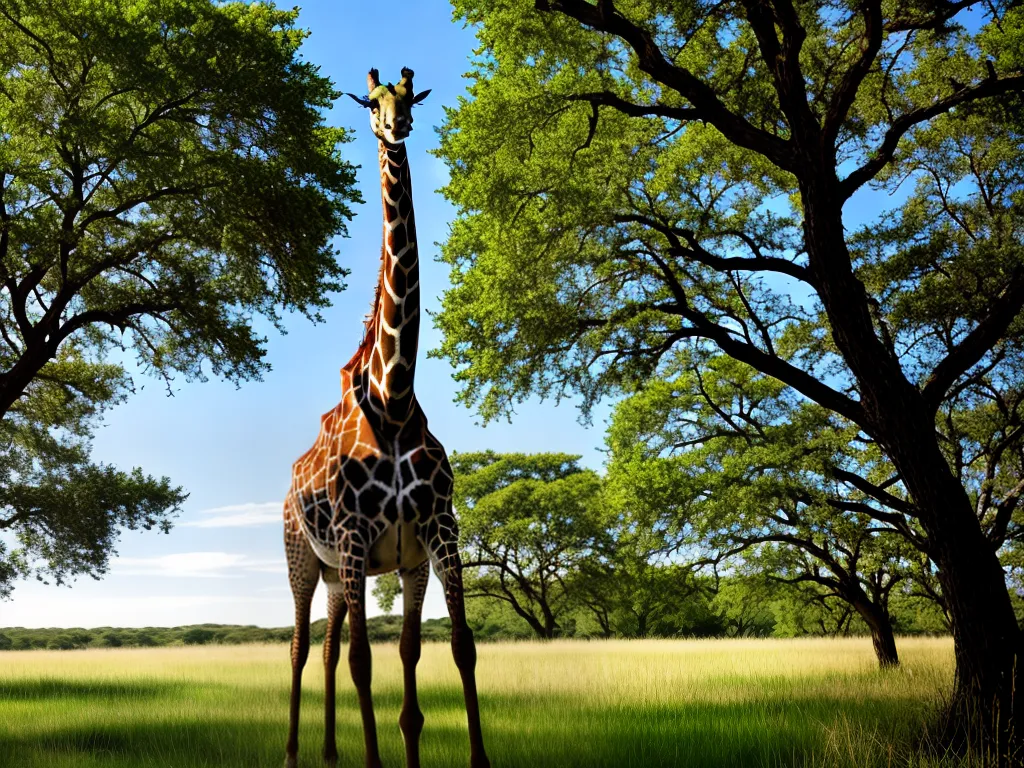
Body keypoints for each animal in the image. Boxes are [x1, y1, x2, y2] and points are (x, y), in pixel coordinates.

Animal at [282, 68, 490, 768]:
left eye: (409, 96)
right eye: (371, 102)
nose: (395, 127)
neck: (395, 398)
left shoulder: (432, 537)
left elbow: (447, 647)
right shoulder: (352, 536)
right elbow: (365, 663)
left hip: (346, 574)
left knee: (326, 648)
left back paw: (327, 753)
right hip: (303, 559)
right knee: (301, 648)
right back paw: (293, 754)